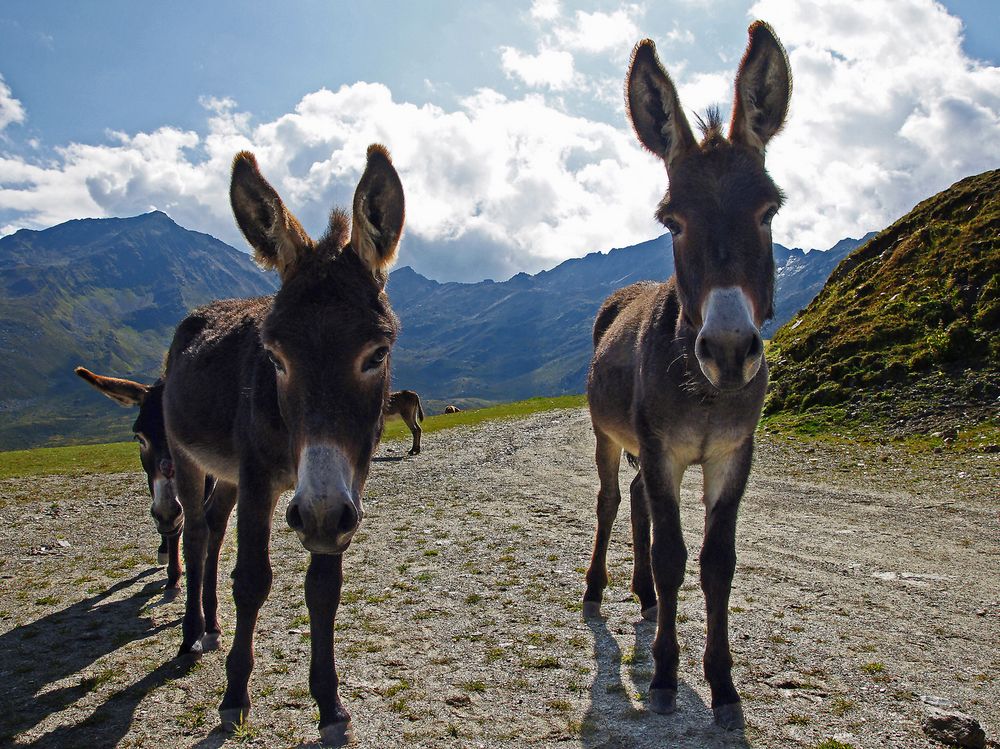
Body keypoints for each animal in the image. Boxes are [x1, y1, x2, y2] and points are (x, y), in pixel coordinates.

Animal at [163, 144, 405, 745]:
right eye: (274, 357)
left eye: (377, 353)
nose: (316, 515)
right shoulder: (257, 477)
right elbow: (252, 580)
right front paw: (233, 698)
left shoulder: (342, 490)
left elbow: (324, 588)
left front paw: (329, 703)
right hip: (186, 454)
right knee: (196, 534)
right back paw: (191, 636)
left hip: (228, 474)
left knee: (213, 524)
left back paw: (212, 625)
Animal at [584, 22, 791, 731]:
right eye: (672, 220)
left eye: (769, 212)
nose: (728, 351)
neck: (705, 393)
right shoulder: (662, 450)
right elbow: (675, 557)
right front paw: (668, 677)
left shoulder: (732, 454)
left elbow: (716, 563)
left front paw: (723, 685)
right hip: (610, 438)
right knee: (613, 500)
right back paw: (600, 589)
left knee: (639, 504)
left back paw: (643, 595)